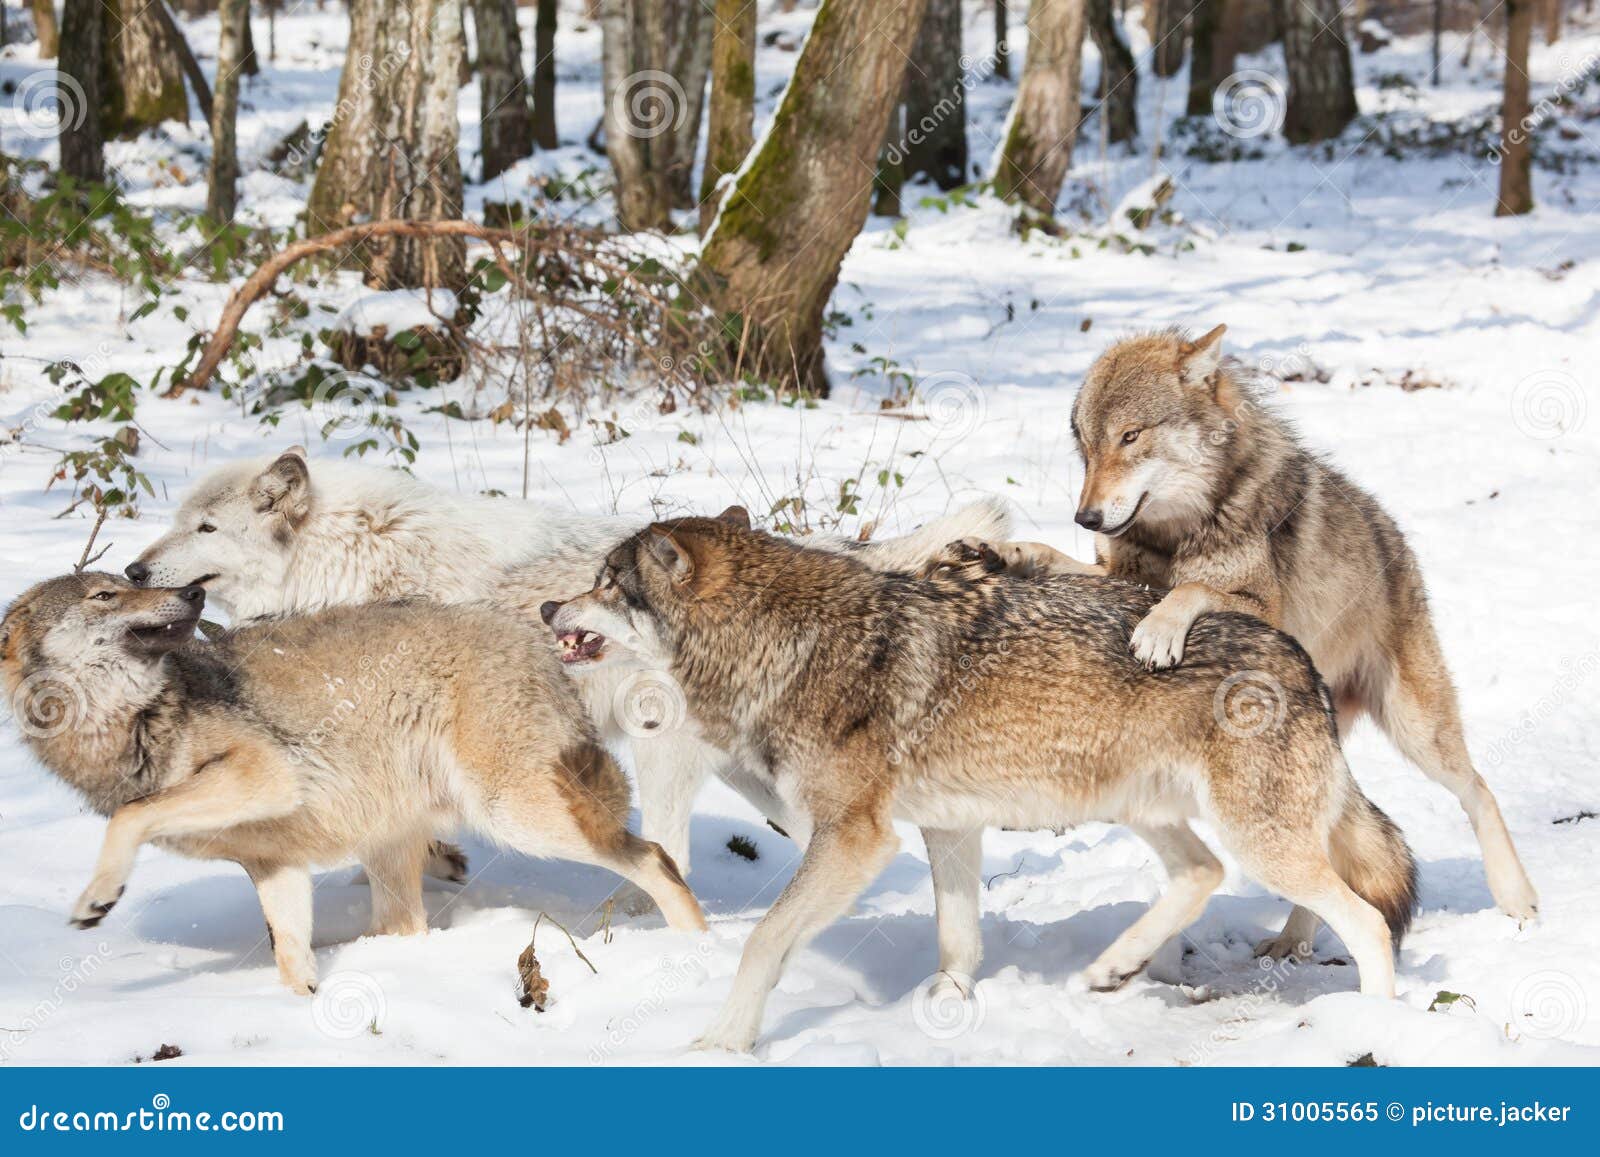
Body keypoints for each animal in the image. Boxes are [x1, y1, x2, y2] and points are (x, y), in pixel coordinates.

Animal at [0, 574, 704, 993]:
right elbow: (290, 954)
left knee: (656, 856)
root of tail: (531, 635)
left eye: (119, 586)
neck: (137, 718)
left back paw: (702, 949)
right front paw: (306, 1005)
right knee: (407, 928)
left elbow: (133, 816)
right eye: (103, 597)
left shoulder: (265, 775)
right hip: (393, 840)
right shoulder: (273, 861)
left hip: (517, 816)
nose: (194, 594)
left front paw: (99, 896)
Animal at [125, 447, 1009, 877]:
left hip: (660, 757)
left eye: (205, 528)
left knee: (671, 851)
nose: (134, 570)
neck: (347, 556)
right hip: (752, 776)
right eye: (178, 521)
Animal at [545, 512, 1417, 1052]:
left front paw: (723, 1041)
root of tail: (1296, 655)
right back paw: (1113, 968)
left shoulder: (856, 839)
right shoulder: (949, 826)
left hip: (1257, 840)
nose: (552, 604)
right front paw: (944, 1013)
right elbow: (956, 943)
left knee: (1366, 922)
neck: (781, 642)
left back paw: (1373, 1027)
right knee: (1202, 874)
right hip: (1146, 810)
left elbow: (763, 940)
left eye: (607, 582)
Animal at [1060, 325, 1536, 953]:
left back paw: (1518, 899)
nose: (1085, 517)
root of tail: (1396, 537)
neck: (1178, 533)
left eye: (1131, 436)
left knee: (1478, 790)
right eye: (1086, 448)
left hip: (1417, 730)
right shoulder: (1114, 575)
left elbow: (1190, 590)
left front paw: (1158, 630)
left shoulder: (1262, 607)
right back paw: (1292, 940)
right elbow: (1064, 562)